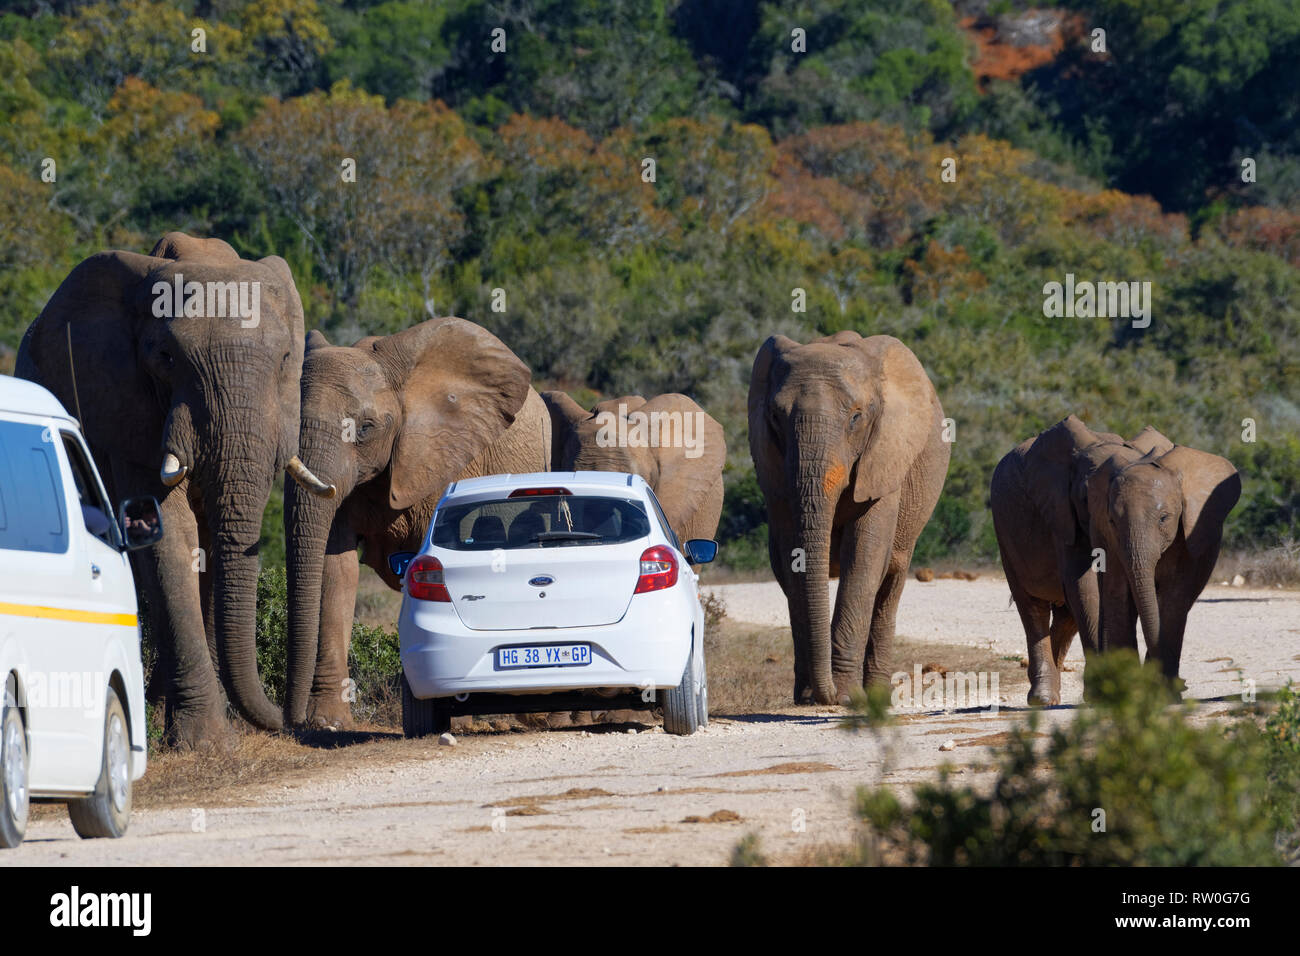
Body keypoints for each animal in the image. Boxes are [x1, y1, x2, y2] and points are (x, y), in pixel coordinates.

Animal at [16, 232, 325, 745]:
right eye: (165, 358)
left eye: (285, 359)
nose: (291, 721)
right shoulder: (125, 410)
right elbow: (172, 533)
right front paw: (206, 741)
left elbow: (213, 541)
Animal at [748, 331, 950, 705]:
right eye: (776, 417)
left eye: (856, 418)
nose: (824, 697)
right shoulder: (776, 476)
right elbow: (792, 563)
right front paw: (813, 696)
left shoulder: (885, 459)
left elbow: (863, 562)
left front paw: (844, 697)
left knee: (890, 585)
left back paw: (877, 696)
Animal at [990, 416, 1174, 705]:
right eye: (1087, 497)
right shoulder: (1062, 514)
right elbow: (1085, 586)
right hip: (1005, 532)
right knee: (1032, 606)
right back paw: (1042, 698)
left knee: (1066, 616)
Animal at [1085, 442, 1241, 686]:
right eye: (1112, 521)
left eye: (1164, 518)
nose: (1182, 684)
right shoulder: (1108, 539)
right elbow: (1118, 594)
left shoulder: (1189, 534)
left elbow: (1173, 598)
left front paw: (1165, 688)